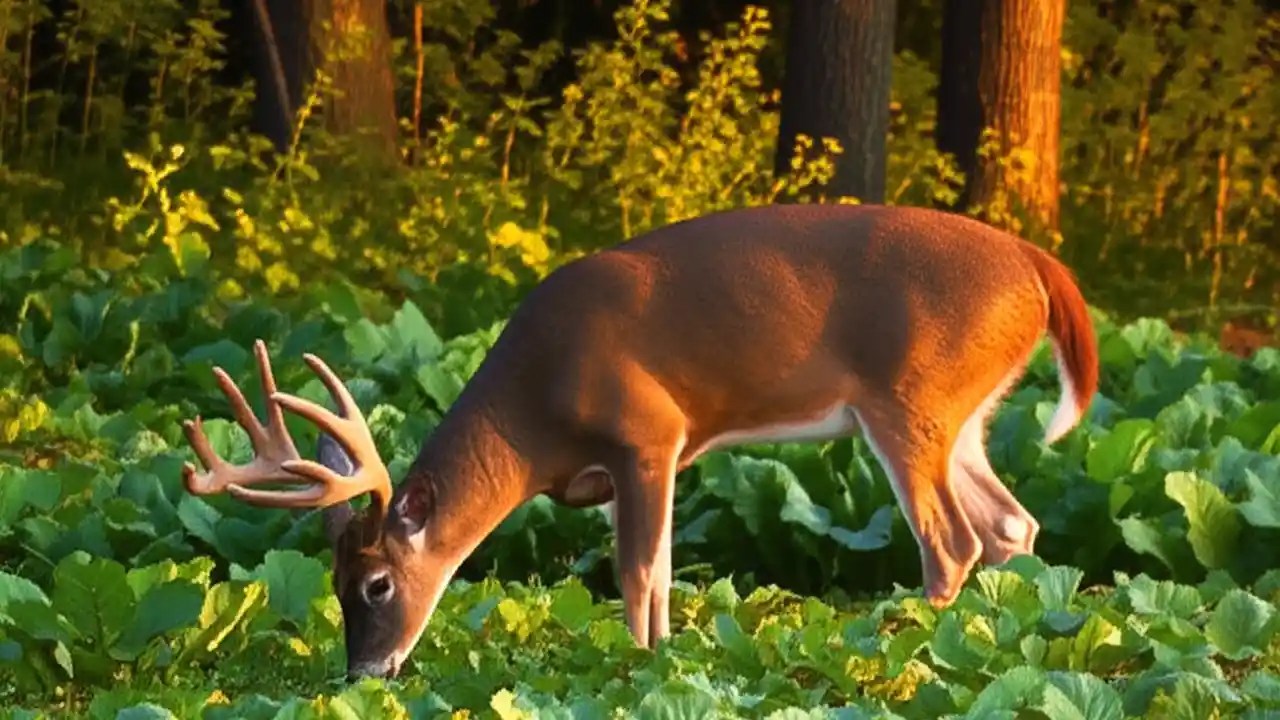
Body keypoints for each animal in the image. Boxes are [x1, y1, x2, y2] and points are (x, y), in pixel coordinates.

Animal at [180, 203, 1098, 679]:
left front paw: (640, 665)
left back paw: (902, 650)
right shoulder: (649, 460)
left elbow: (639, 568)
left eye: (374, 584)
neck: (535, 418)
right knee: (1011, 524)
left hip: (910, 398)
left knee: (952, 541)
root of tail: (1041, 266)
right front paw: (662, 656)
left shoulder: (649, 431)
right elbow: (659, 571)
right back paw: (989, 642)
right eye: (332, 583)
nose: (361, 676)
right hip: (965, 412)